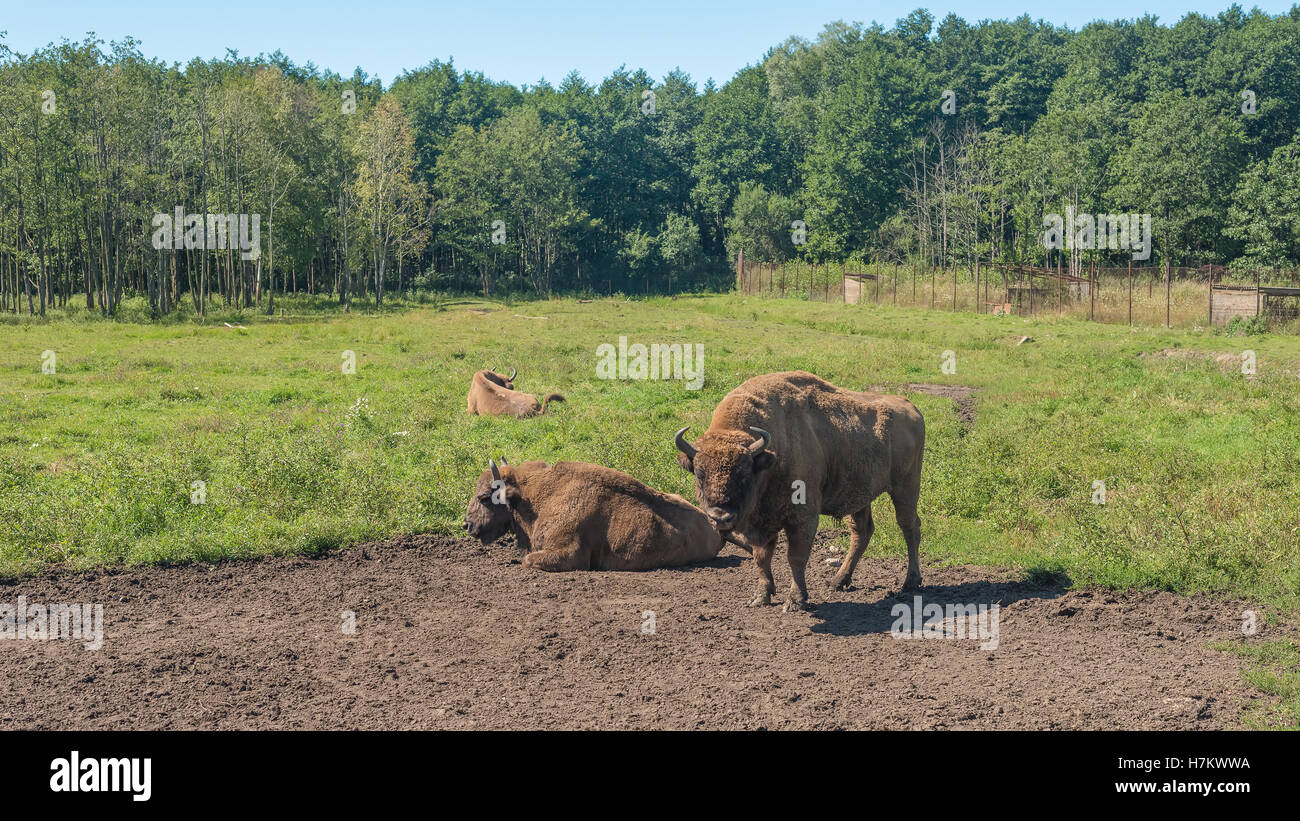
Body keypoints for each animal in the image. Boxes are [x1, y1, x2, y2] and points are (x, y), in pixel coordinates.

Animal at [674, 371, 925, 611]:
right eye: (699, 474)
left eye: (744, 475)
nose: (720, 517)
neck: (769, 458)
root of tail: (912, 408)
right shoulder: (761, 521)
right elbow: (761, 557)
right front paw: (761, 596)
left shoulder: (803, 517)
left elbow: (795, 558)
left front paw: (795, 600)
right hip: (861, 496)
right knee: (861, 532)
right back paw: (838, 581)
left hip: (906, 488)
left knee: (909, 526)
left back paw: (910, 582)